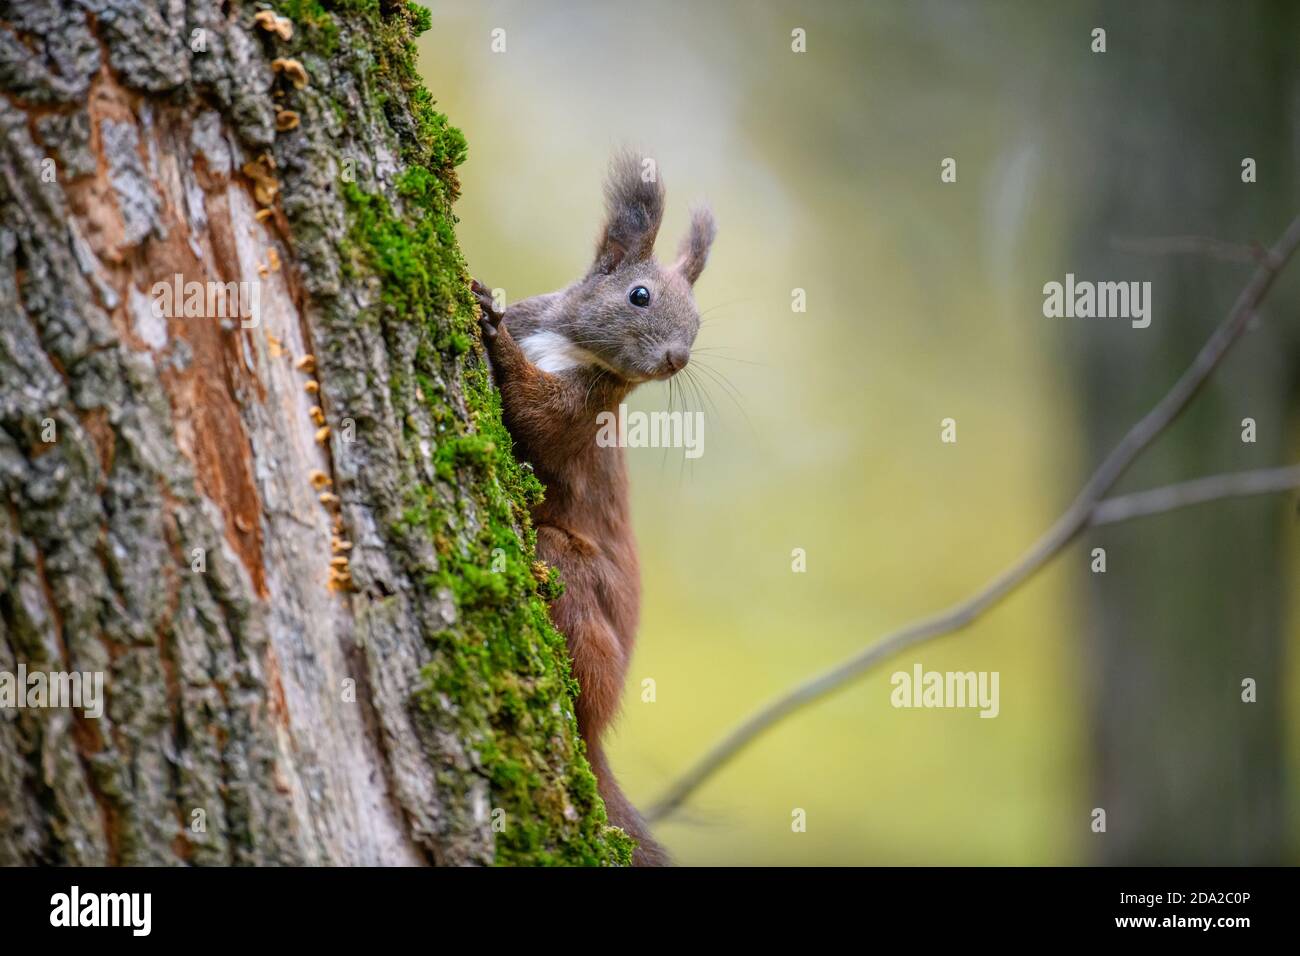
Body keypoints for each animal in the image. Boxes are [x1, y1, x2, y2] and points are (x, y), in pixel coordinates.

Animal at [472, 151, 716, 866]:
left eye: (699, 323)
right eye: (639, 295)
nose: (677, 359)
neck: (571, 346)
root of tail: (595, 739)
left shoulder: (585, 412)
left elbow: (539, 420)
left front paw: (494, 339)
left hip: (575, 578)